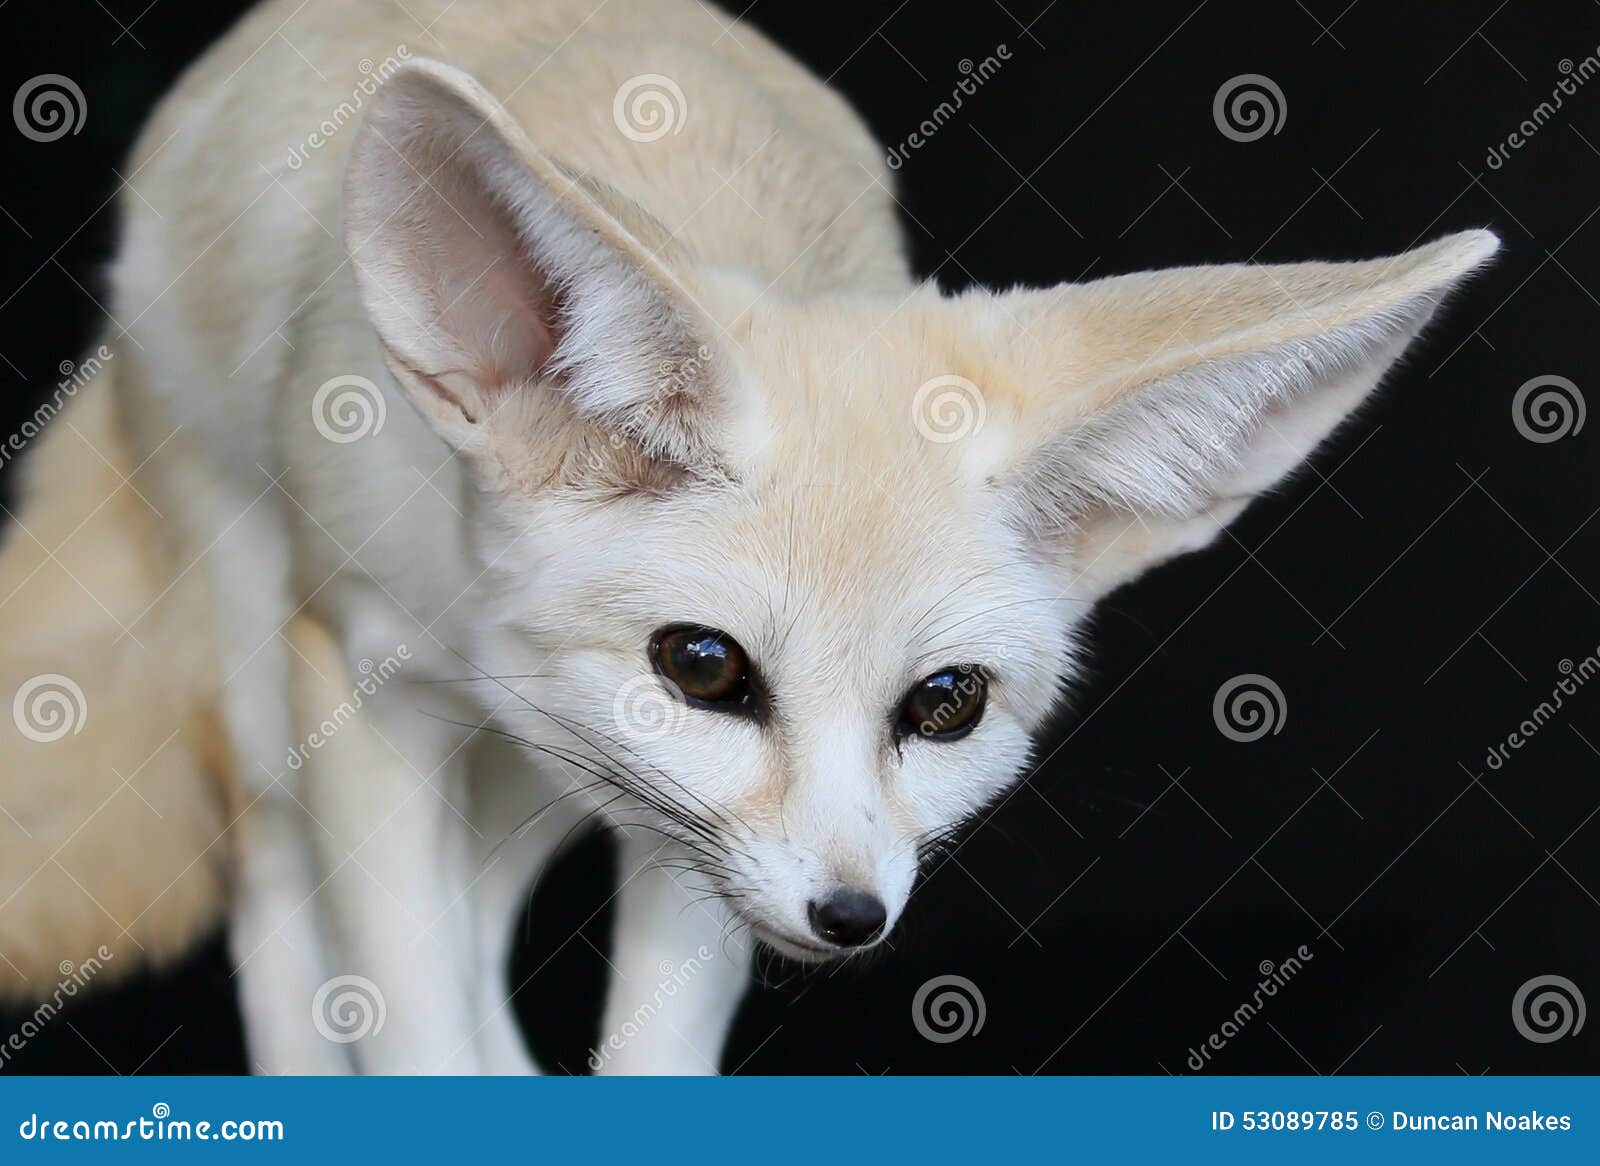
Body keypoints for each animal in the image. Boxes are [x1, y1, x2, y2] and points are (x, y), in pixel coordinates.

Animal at [0, 0, 1496, 1074]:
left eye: (945, 704)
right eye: (705, 666)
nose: (851, 917)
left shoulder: (693, 841)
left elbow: (632, 1053)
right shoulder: (365, 684)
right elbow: (405, 1023)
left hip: (559, 772)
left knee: (476, 924)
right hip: (262, 670)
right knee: (280, 914)